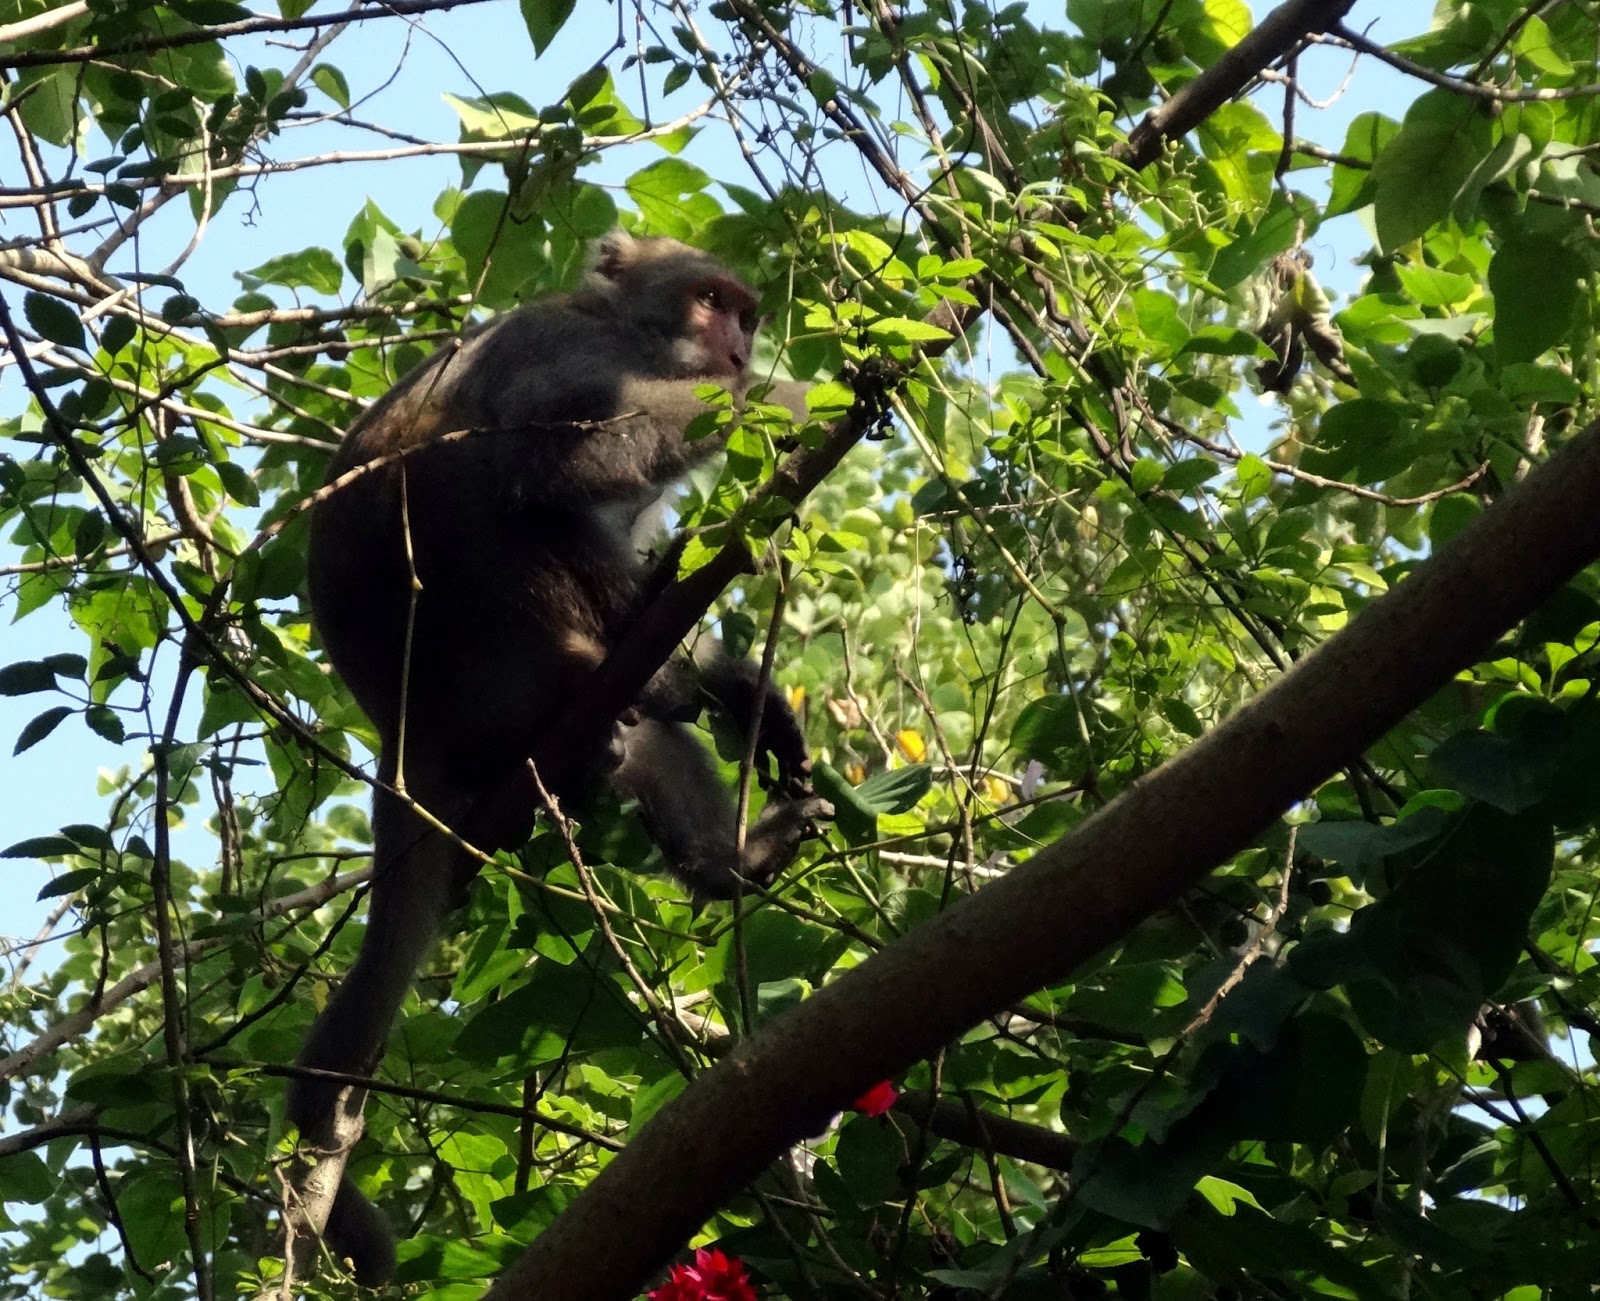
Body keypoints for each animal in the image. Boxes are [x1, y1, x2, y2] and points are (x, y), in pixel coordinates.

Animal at [288, 229, 832, 1283]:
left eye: (747, 310)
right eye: (710, 300)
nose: (740, 345)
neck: (625, 329)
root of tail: (403, 737)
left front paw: (744, 692)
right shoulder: (570, 352)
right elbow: (555, 456)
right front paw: (785, 398)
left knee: (641, 730)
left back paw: (723, 847)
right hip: (484, 657)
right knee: (496, 484)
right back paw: (626, 669)